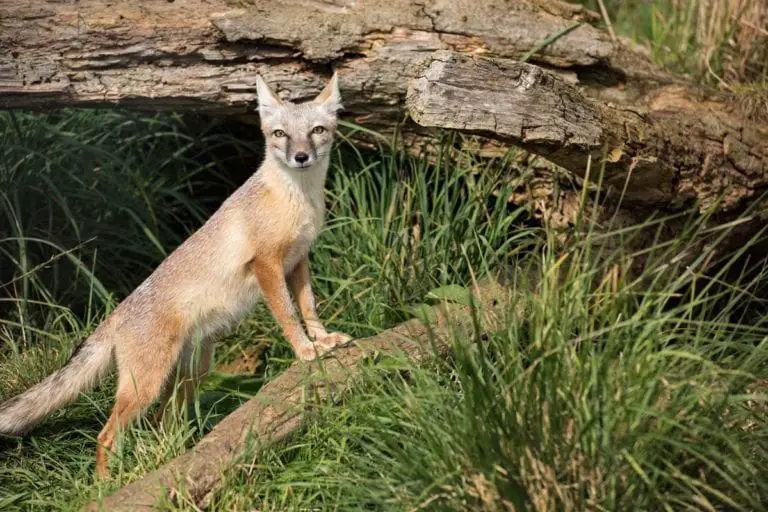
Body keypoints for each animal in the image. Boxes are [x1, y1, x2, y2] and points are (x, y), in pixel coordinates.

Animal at [0, 73, 352, 476]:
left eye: (317, 130)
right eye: (279, 134)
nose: (301, 157)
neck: (298, 201)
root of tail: (116, 314)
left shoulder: (298, 261)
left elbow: (309, 307)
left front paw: (322, 339)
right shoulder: (267, 265)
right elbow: (289, 316)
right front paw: (305, 350)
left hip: (190, 374)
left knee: (160, 424)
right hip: (146, 386)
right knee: (106, 435)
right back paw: (106, 483)